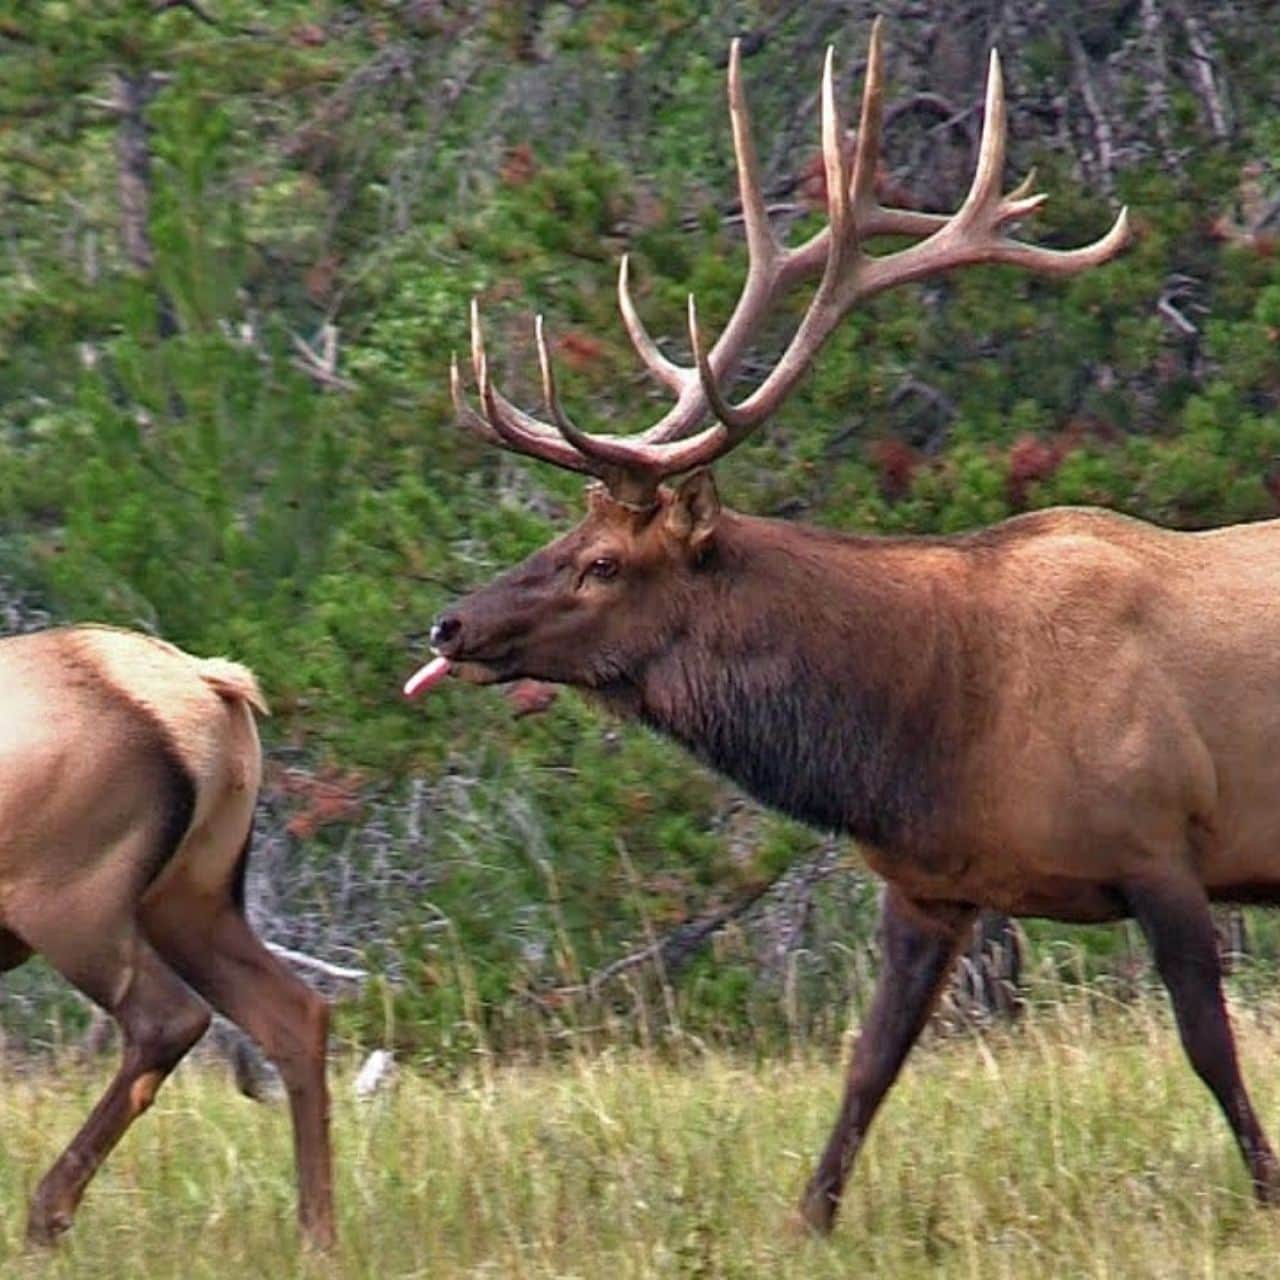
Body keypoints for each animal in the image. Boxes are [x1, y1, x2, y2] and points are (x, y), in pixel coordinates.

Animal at [0, 626, 333, 1248]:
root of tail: (214, 684)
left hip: (71, 903)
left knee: (169, 1018)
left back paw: (44, 1219)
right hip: (192, 900)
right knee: (297, 1013)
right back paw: (317, 1240)